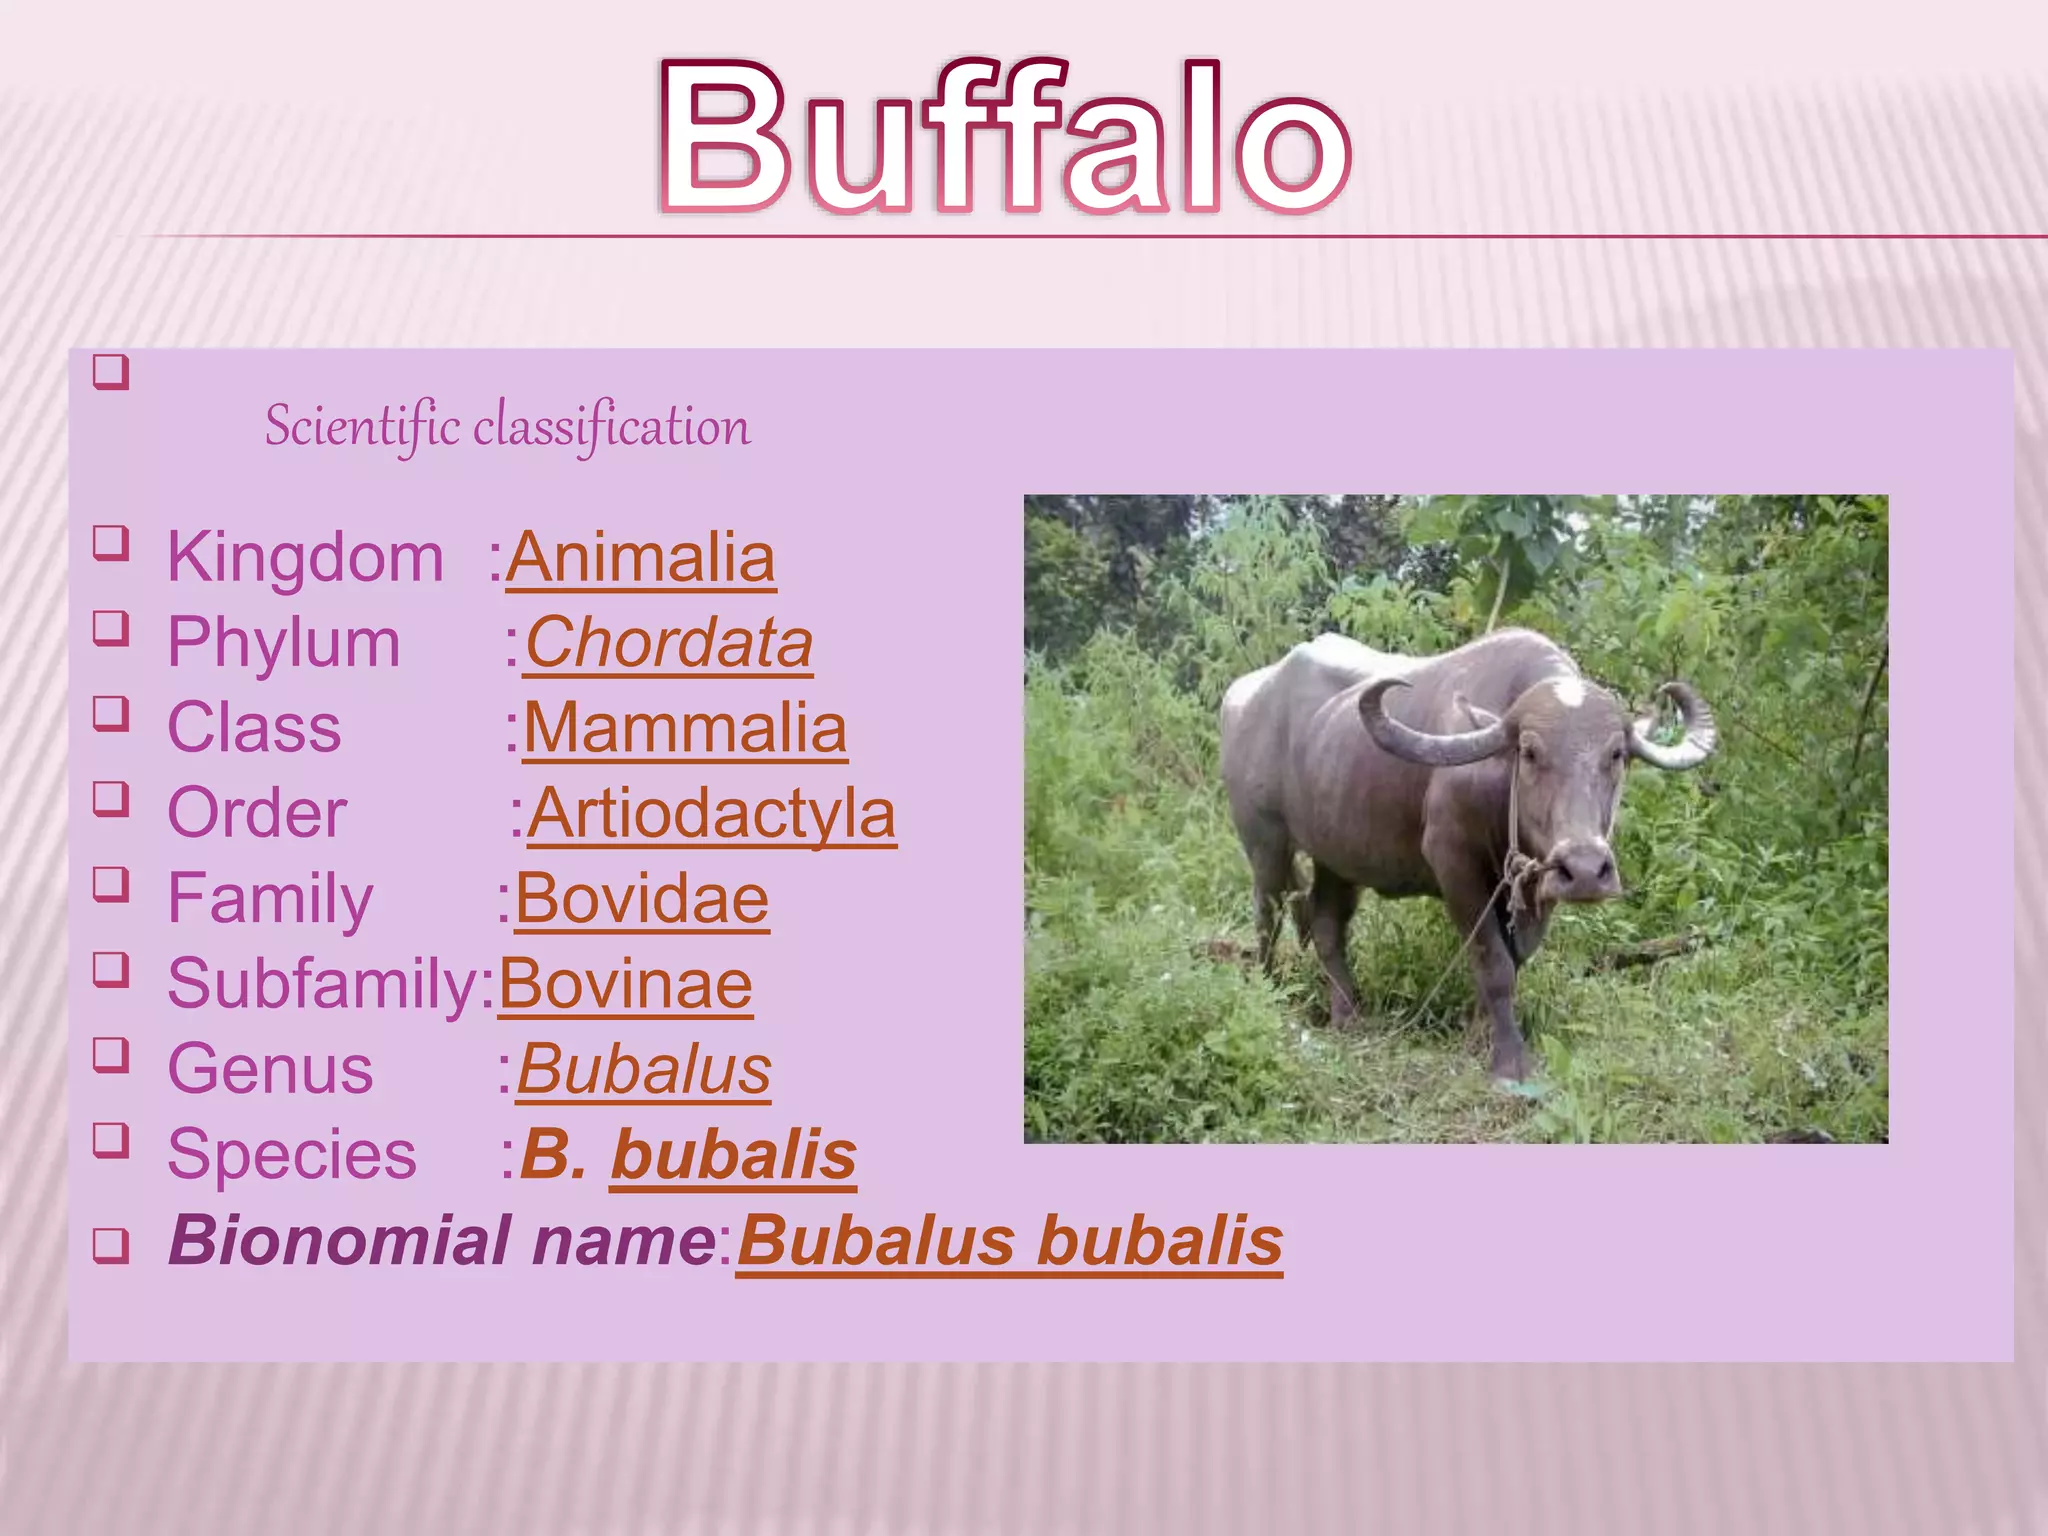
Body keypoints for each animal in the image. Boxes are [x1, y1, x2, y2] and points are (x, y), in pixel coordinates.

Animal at [1220, 628, 1716, 1082]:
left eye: (1616, 754)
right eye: (1529, 751)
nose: (1585, 871)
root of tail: (1244, 694)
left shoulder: (1535, 885)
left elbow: (1515, 961)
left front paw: (1479, 1035)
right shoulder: (1455, 866)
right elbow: (1494, 963)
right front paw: (1509, 1061)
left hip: (1337, 855)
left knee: (1325, 924)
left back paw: (1348, 1015)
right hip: (1264, 841)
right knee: (1268, 913)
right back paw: (1269, 988)